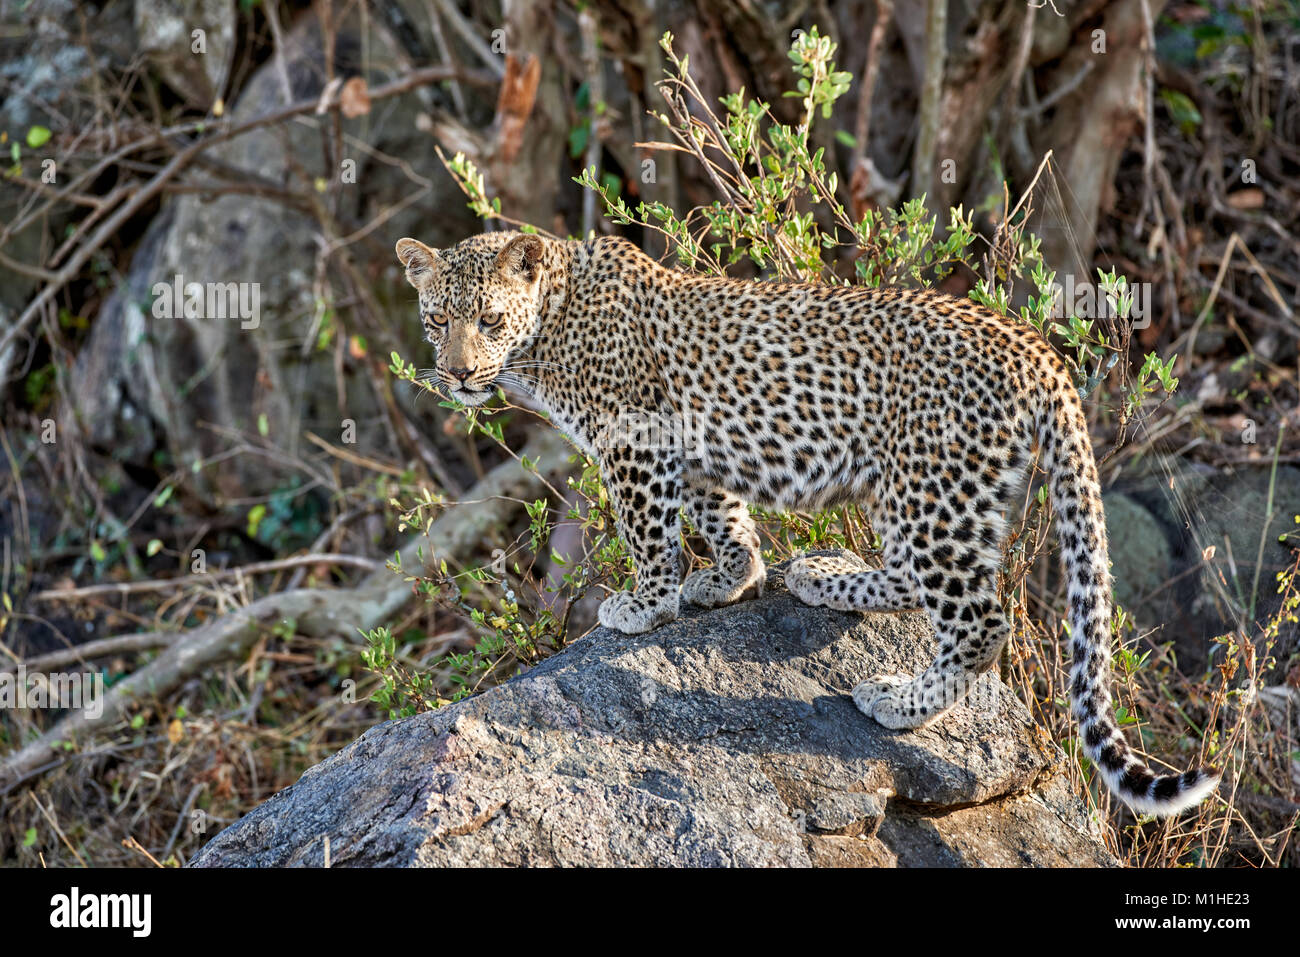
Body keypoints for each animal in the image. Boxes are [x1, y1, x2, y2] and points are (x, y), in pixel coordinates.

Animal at [395, 229, 1220, 817]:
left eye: (489, 318)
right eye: (437, 320)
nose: (458, 374)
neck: (549, 333)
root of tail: (1038, 347)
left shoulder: (636, 440)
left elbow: (648, 531)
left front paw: (645, 603)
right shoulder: (693, 450)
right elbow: (722, 515)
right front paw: (731, 580)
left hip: (934, 485)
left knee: (980, 617)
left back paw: (899, 702)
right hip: (912, 486)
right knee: (911, 579)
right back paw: (824, 577)